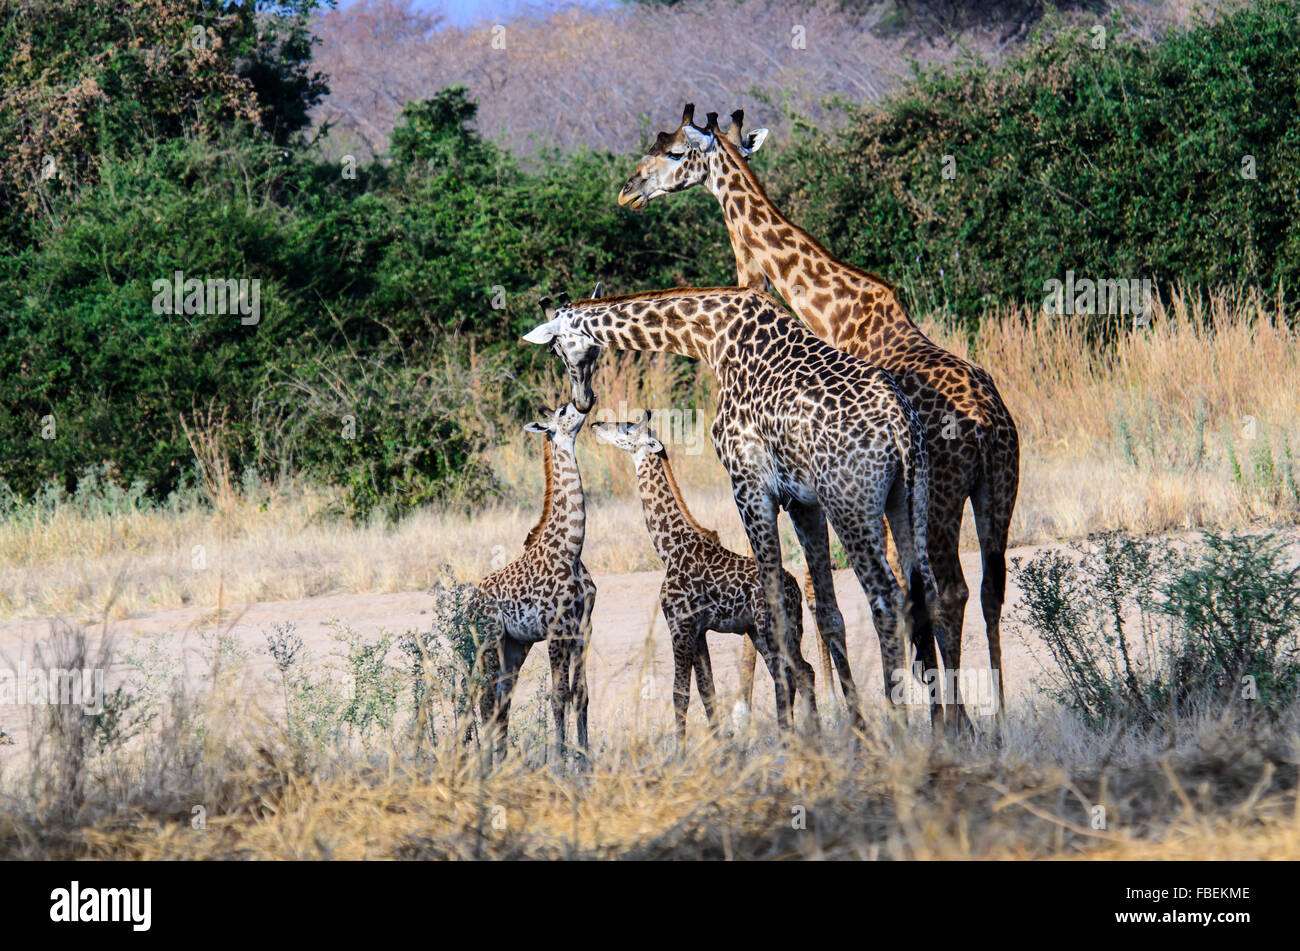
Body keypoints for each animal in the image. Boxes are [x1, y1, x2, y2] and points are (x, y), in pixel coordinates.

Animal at [473, 403, 594, 761]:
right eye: (564, 410)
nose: (587, 405)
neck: (571, 548)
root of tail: (468, 603)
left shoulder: (583, 628)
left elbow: (581, 694)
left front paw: (585, 758)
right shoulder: (556, 630)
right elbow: (558, 695)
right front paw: (560, 761)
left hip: (514, 645)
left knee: (502, 701)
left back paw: (501, 761)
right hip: (489, 642)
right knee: (485, 700)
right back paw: (487, 763)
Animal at [592, 413, 806, 744]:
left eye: (626, 427)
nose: (595, 425)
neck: (669, 548)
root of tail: (797, 590)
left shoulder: (679, 625)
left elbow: (680, 693)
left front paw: (680, 751)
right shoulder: (700, 630)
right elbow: (708, 692)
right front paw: (720, 745)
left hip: (770, 629)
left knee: (794, 675)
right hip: (769, 631)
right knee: (796, 674)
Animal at [618, 103, 1019, 726]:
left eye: (672, 152)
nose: (629, 191)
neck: (832, 306)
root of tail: (987, 426)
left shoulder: (821, 489)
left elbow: (811, 589)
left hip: (939, 497)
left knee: (943, 591)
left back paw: (946, 719)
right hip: (996, 491)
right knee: (986, 589)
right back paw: (990, 722)